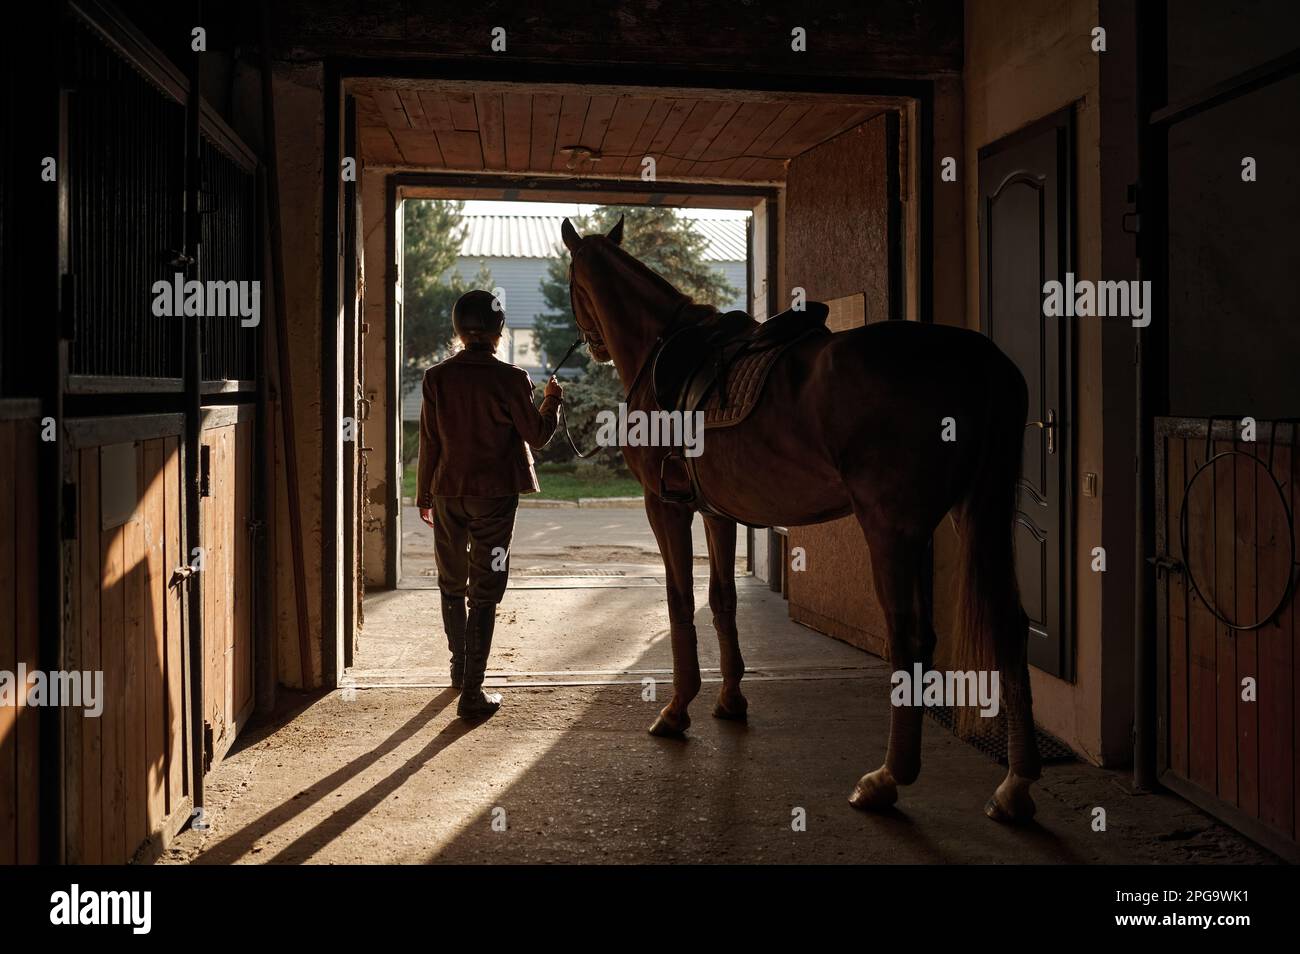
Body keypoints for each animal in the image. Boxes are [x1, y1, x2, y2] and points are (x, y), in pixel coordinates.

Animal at [561, 215, 1040, 822]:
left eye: (572, 284)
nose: (593, 345)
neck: (662, 351)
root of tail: (980, 361)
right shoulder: (717, 514)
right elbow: (722, 601)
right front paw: (730, 700)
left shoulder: (664, 507)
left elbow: (677, 602)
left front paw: (676, 709)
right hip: (974, 514)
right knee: (1009, 626)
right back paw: (1015, 787)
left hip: (893, 528)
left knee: (909, 638)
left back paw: (887, 779)